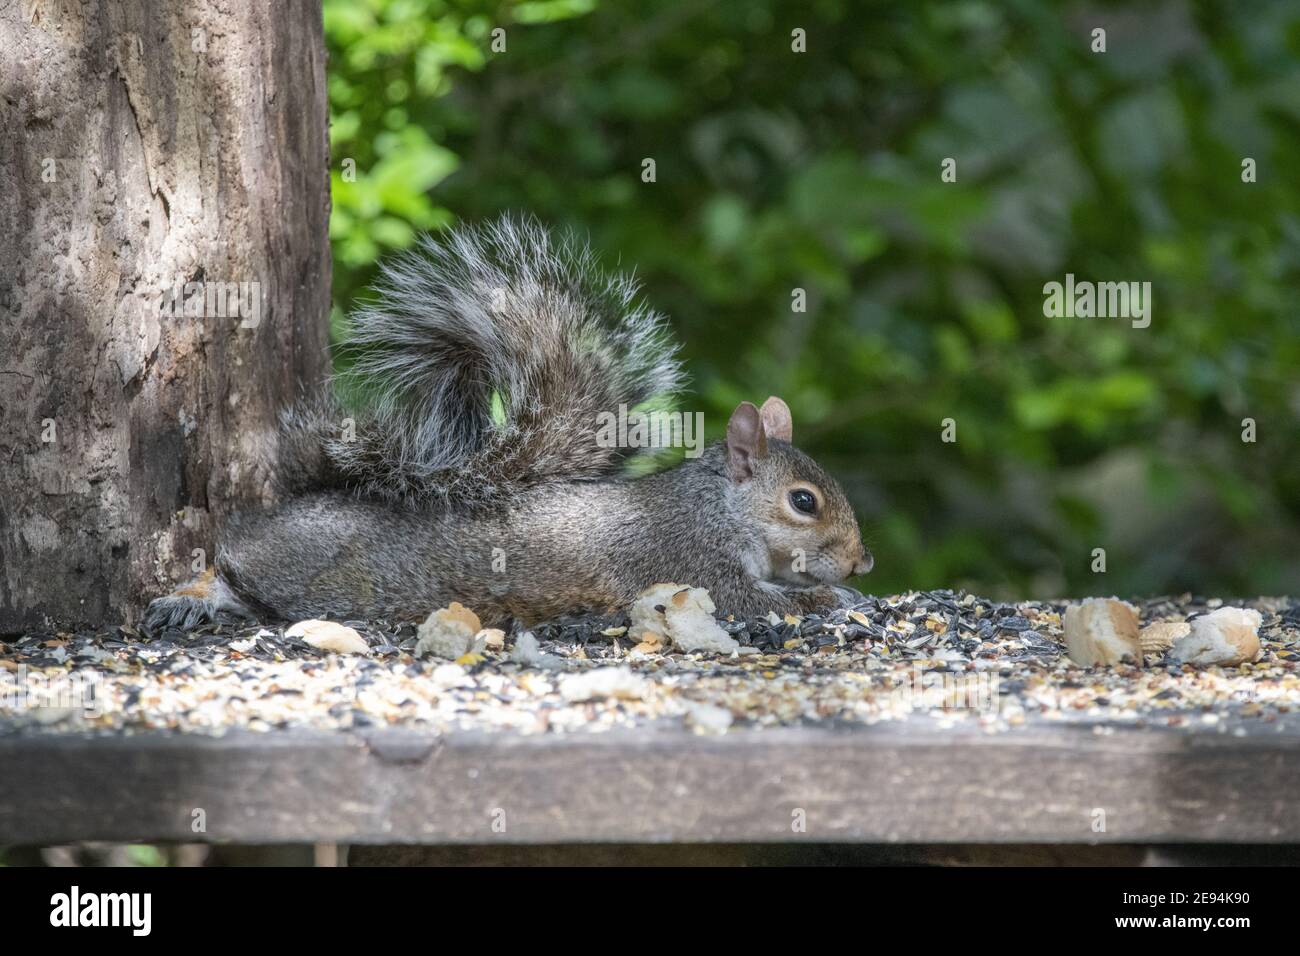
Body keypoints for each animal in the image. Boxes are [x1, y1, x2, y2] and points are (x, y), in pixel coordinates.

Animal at [143, 217, 872, 633]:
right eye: (803, 502)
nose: (861, 562)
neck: (721, 508)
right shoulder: (693, 562)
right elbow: (759, 603)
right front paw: (834, 604)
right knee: (234, 569)